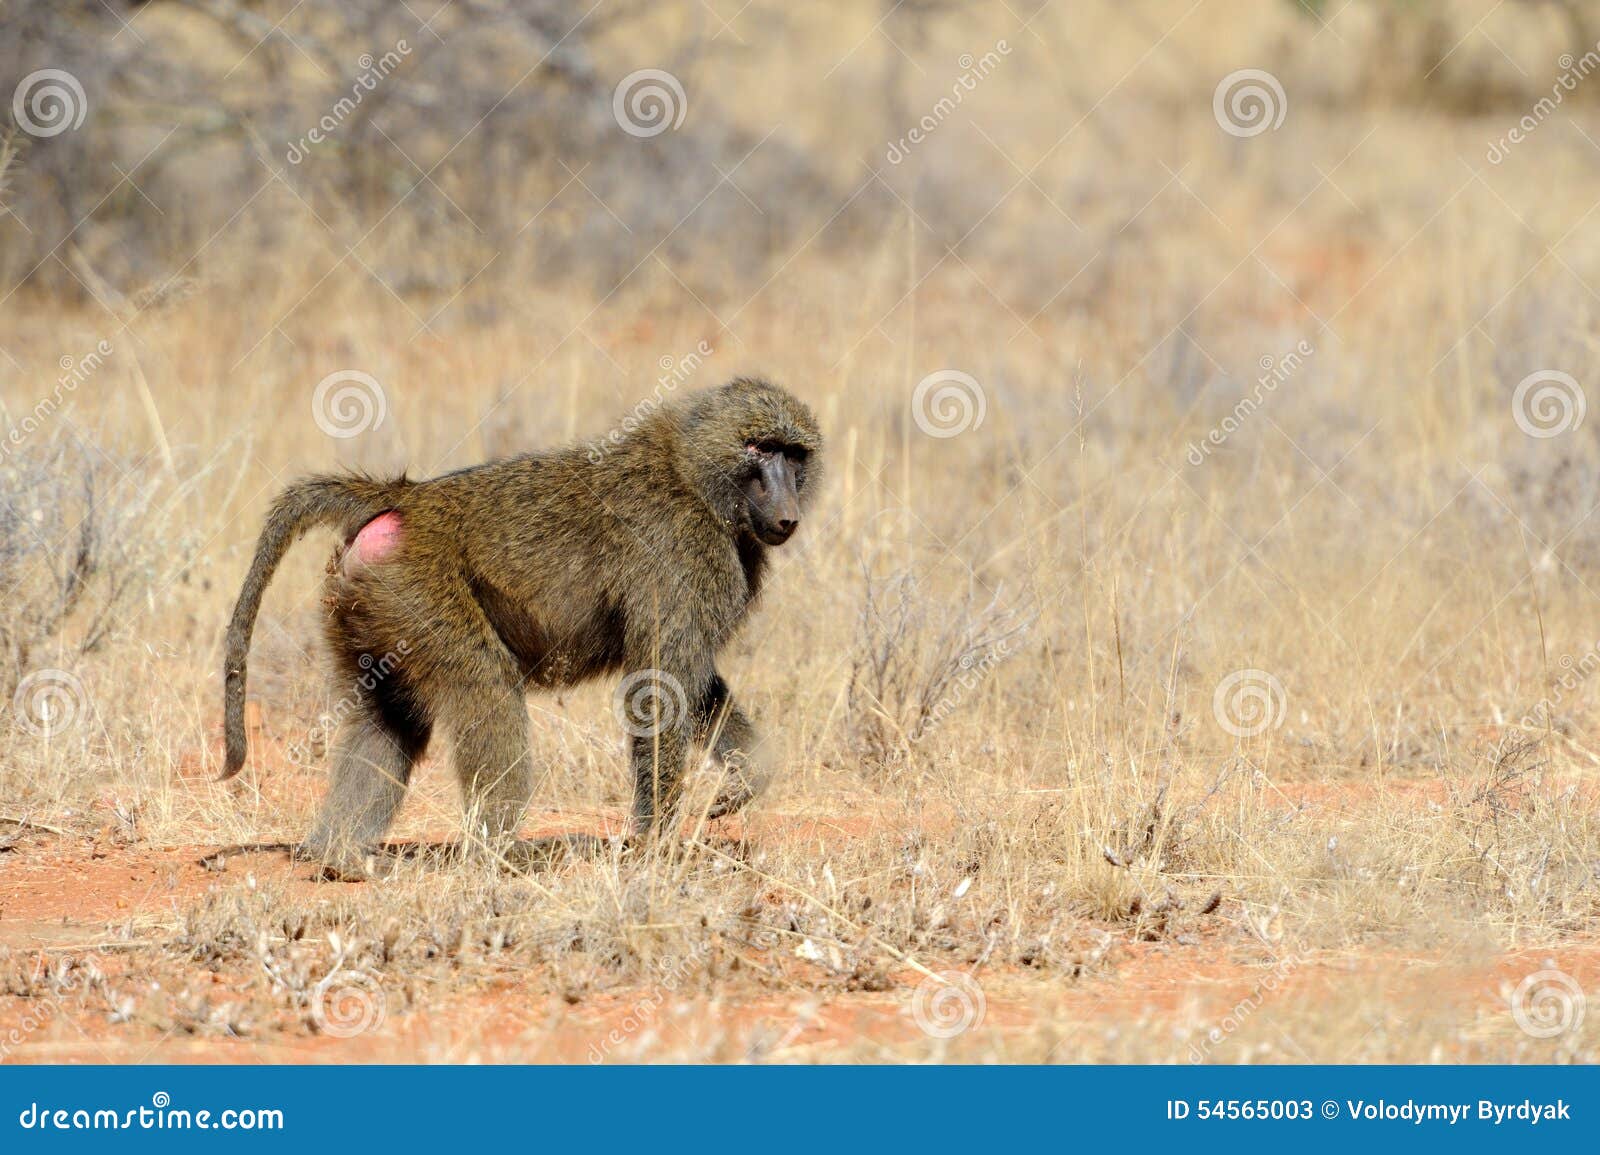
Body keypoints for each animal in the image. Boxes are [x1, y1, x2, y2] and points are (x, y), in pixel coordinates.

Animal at [221, 377, 822, 869]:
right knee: (488, 690)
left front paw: (748, 776)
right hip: (419, 590)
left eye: (794, 455)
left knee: (387, 719)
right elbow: (661, 683)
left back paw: (338, 857)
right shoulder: (681, 551)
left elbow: (692, 680)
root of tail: (407, 498)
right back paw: (498, 854)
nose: (787, 515)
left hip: (373, 608)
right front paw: (655, 846)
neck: (692, 474)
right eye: (759, 449)